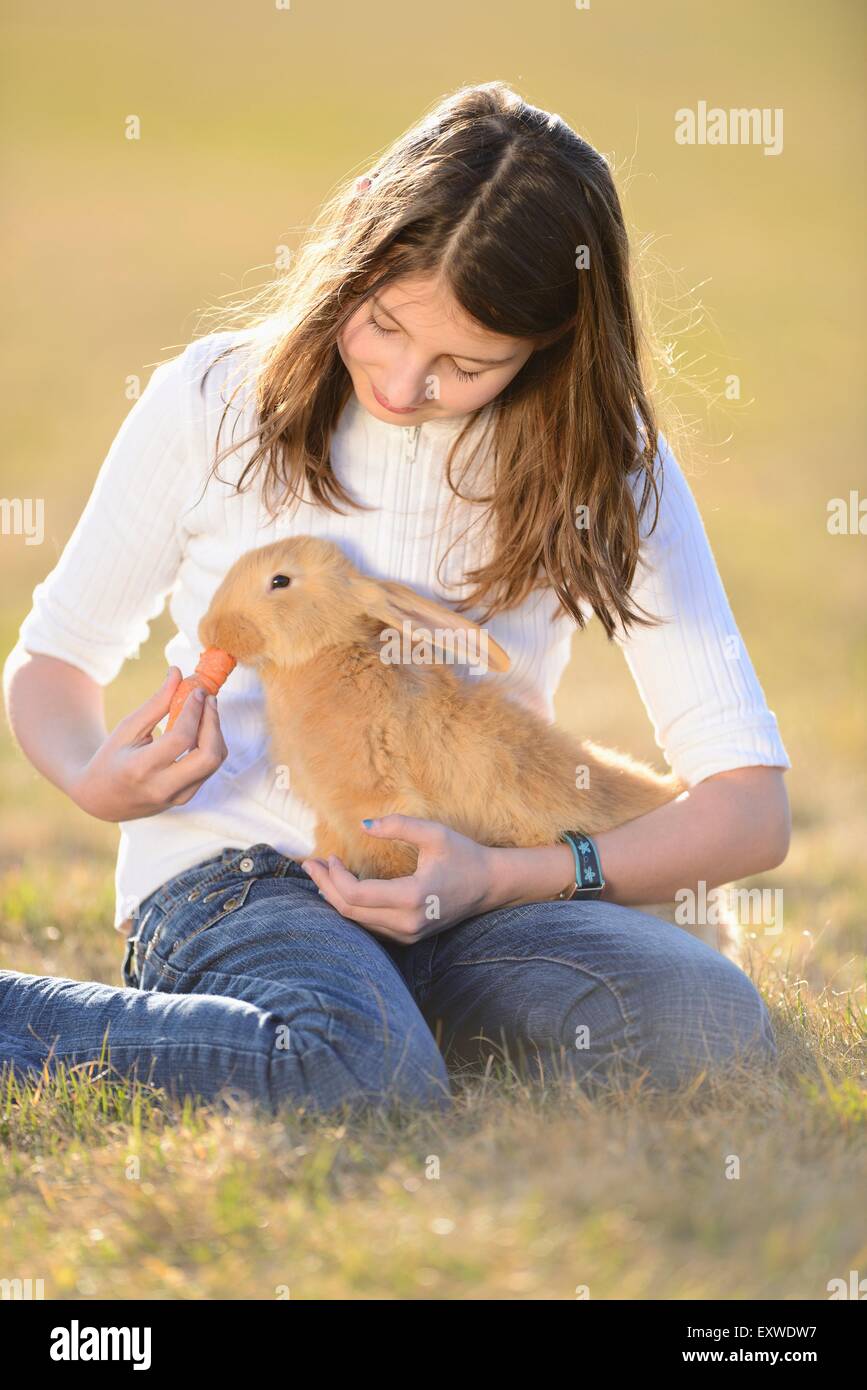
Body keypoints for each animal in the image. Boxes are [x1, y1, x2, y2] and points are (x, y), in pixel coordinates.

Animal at [197, 536, 686, 887]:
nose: (209, 630)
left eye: (280, 581)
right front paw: (305, 861)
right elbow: (328, 846)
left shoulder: (375, 805)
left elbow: (386, 858)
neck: (328, 654)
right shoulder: (332, 817)